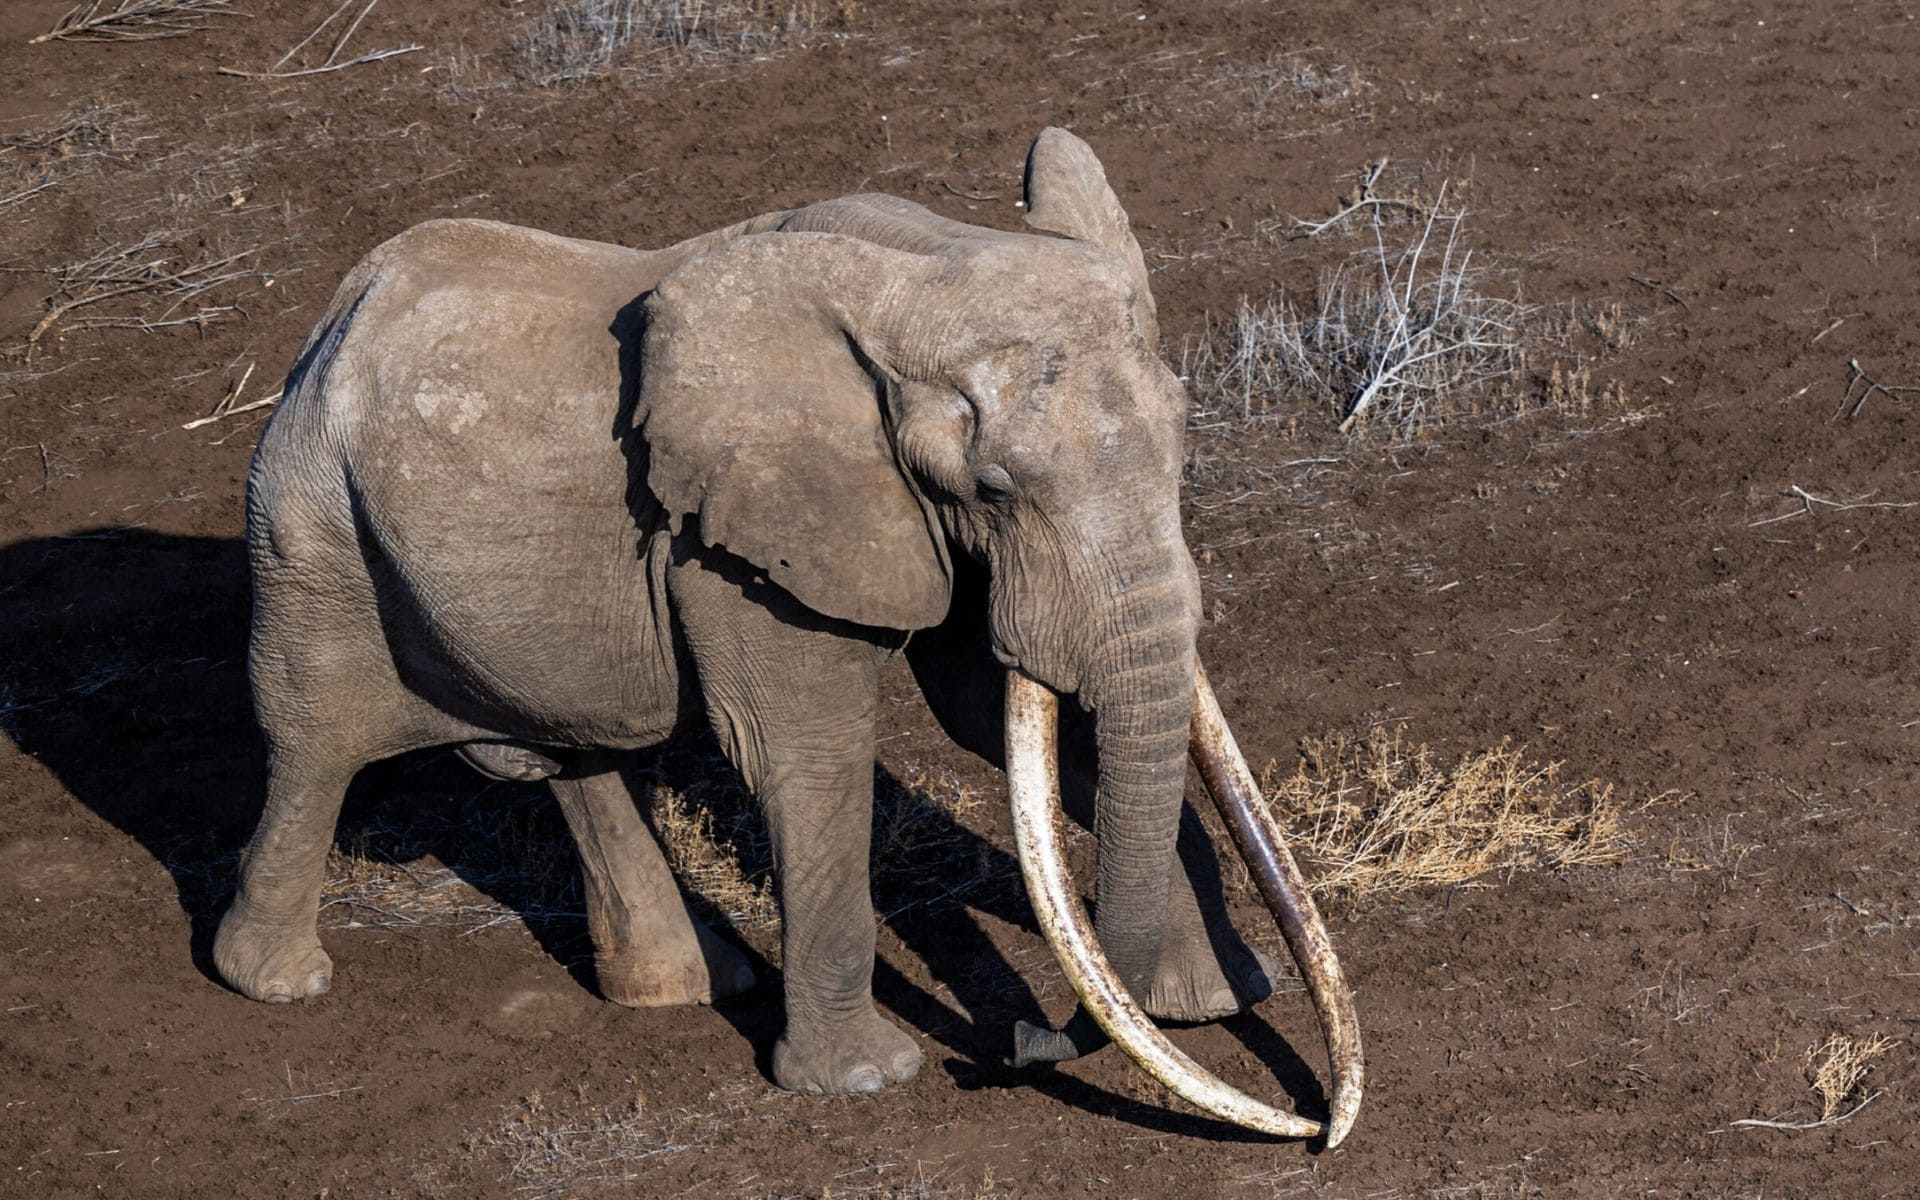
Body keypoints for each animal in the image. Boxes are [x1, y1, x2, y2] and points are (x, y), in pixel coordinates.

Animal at [212, 128, 1362, 1142]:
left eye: (1184, 442)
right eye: (993, 487)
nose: (1024, 1041)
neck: (926, 259)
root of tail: (333, 319)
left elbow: (1010, 717)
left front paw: (1213, 1001)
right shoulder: (736, 533)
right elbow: (807, 753)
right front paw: (865, 1082)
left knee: (576, 752)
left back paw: (683, 987)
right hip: (309, 526)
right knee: (314, 742)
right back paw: (271, 980)